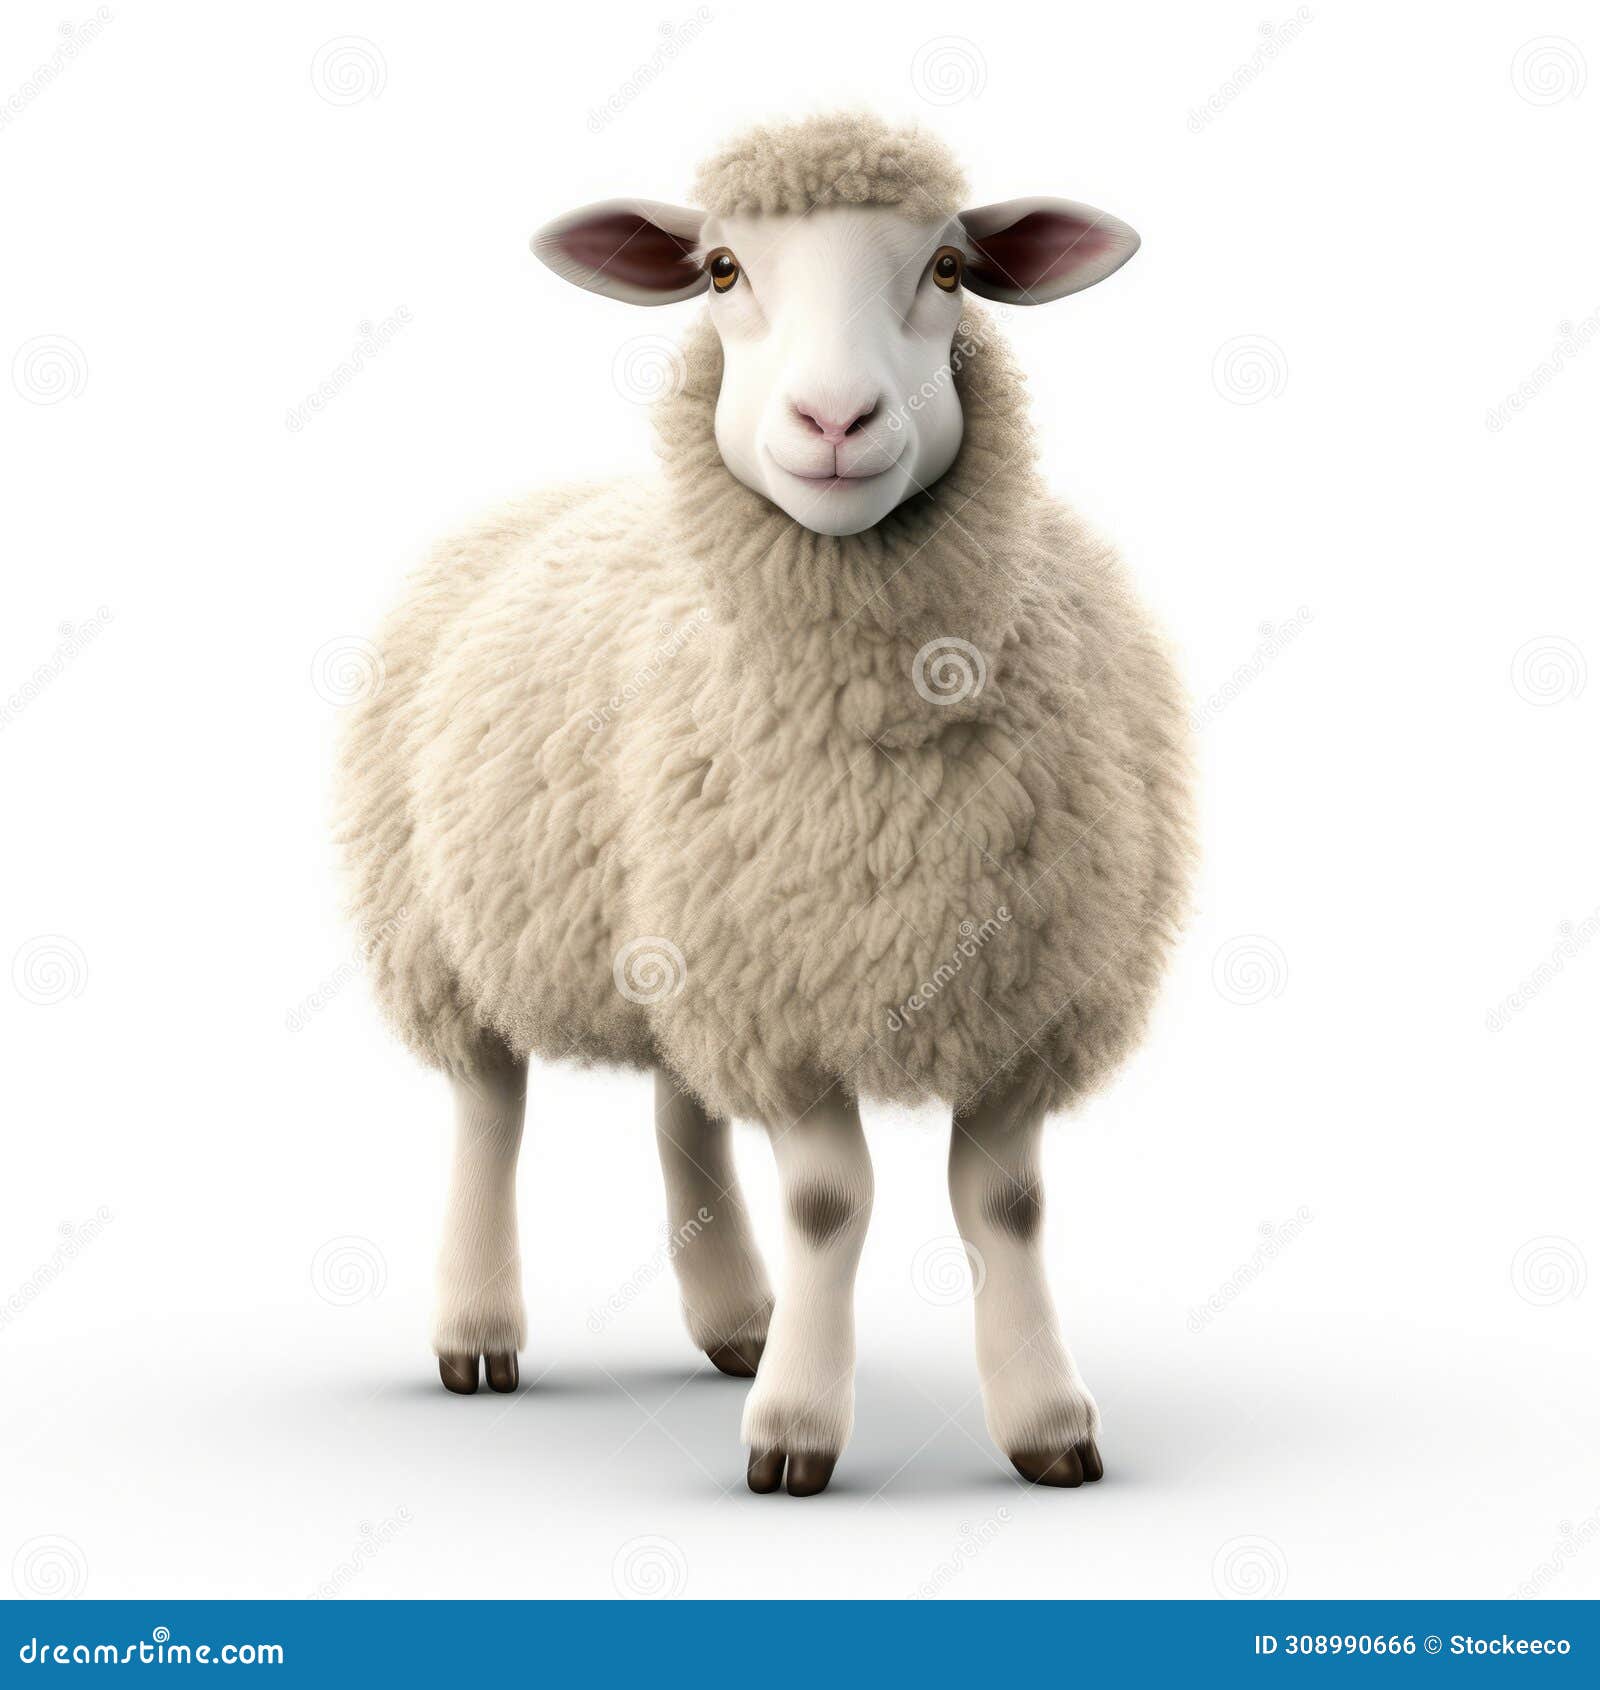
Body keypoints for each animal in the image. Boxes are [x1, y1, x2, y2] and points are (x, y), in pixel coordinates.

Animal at [337, 111, 1192, 1496]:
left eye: (947, 268)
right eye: (724, 270)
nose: (832, 418)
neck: (889, 739)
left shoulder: (1020, 990)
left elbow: (1003, 1208)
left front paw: (1046, 1421)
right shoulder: (783, 1007)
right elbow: (829, 1204)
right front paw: (795, 1427)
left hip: (674, 928)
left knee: (679, 1109)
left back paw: (737, 1316)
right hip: (447, 933)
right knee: (487, 1112)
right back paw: (478, 1326)